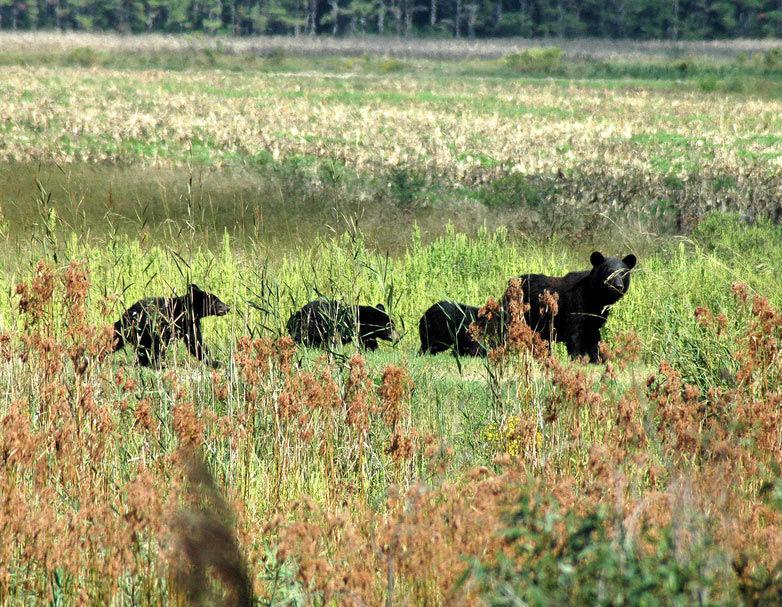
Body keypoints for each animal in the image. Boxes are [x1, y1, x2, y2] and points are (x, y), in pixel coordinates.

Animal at [503, 252, 636, 363]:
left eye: (623, 273)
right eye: (609, 272)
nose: (618, 286)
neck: (594, 297)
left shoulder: (596, 315)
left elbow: (594, 336)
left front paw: (598, 359)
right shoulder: (576, 304)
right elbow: (575, 333)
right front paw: (577, 358)